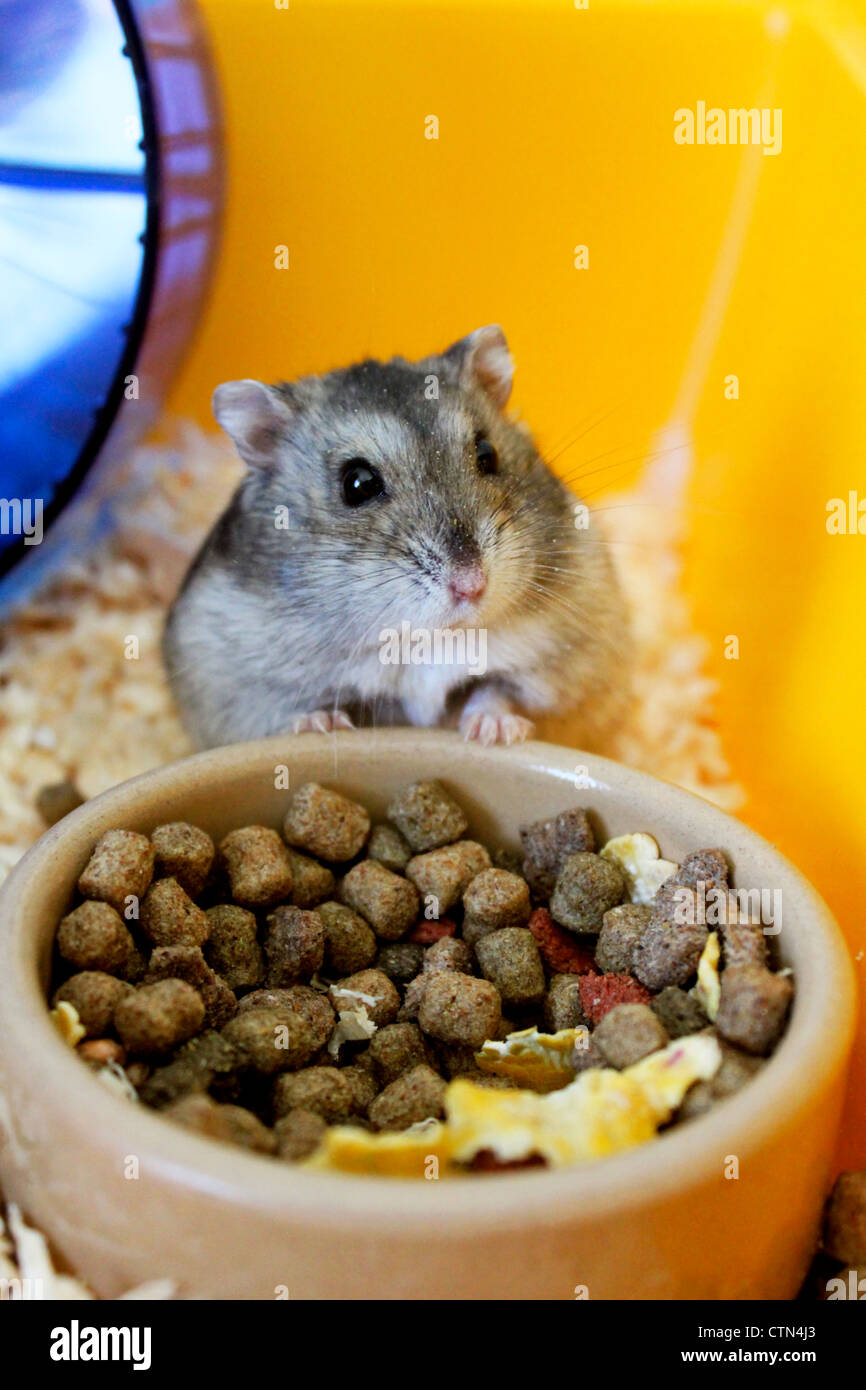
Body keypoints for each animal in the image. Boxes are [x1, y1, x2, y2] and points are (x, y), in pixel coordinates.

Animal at [163, 325, 631, 748]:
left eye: (487, 453)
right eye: (357, 483)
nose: (472, 585)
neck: (426, 637)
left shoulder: (559, 665)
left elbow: (496, 690)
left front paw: (494, 732)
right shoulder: (245, 688)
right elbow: (301, 708)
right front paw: (321, 726)